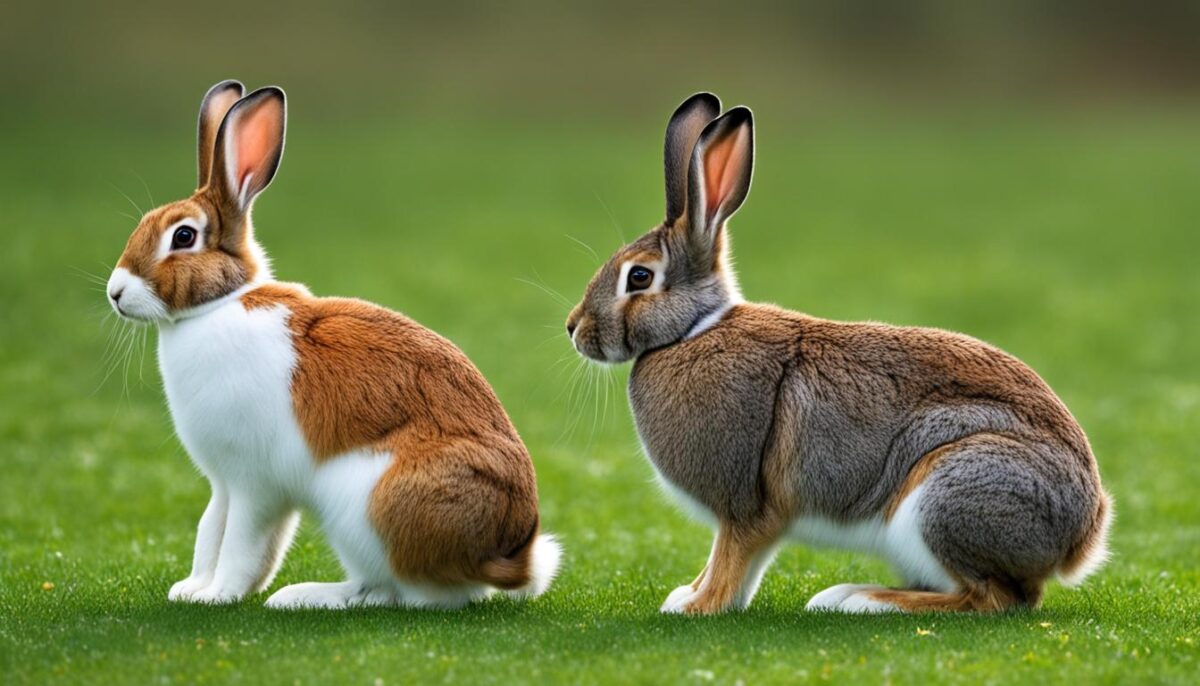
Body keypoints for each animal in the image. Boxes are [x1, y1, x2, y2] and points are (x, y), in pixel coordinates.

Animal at [105, 80, 560, 609]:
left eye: (183, 236)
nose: (116, 292)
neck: (219, 306)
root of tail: (504, 559)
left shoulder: (254, 484)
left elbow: (239, 543)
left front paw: (219, 595)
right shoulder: (224, 485)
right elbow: (211, 531)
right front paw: (192, 589)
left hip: (361, 507)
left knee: (399, 593)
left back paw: (299, 597)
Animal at [565, 92, 1111, 614]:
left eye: (639, 277)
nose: (574, 328)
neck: (693, 330)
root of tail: (1084, 532)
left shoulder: (744, 508)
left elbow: (731, 561)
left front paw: (699, 606)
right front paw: (687, 595)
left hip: (943, 495)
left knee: (992, 598)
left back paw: (860, 601)